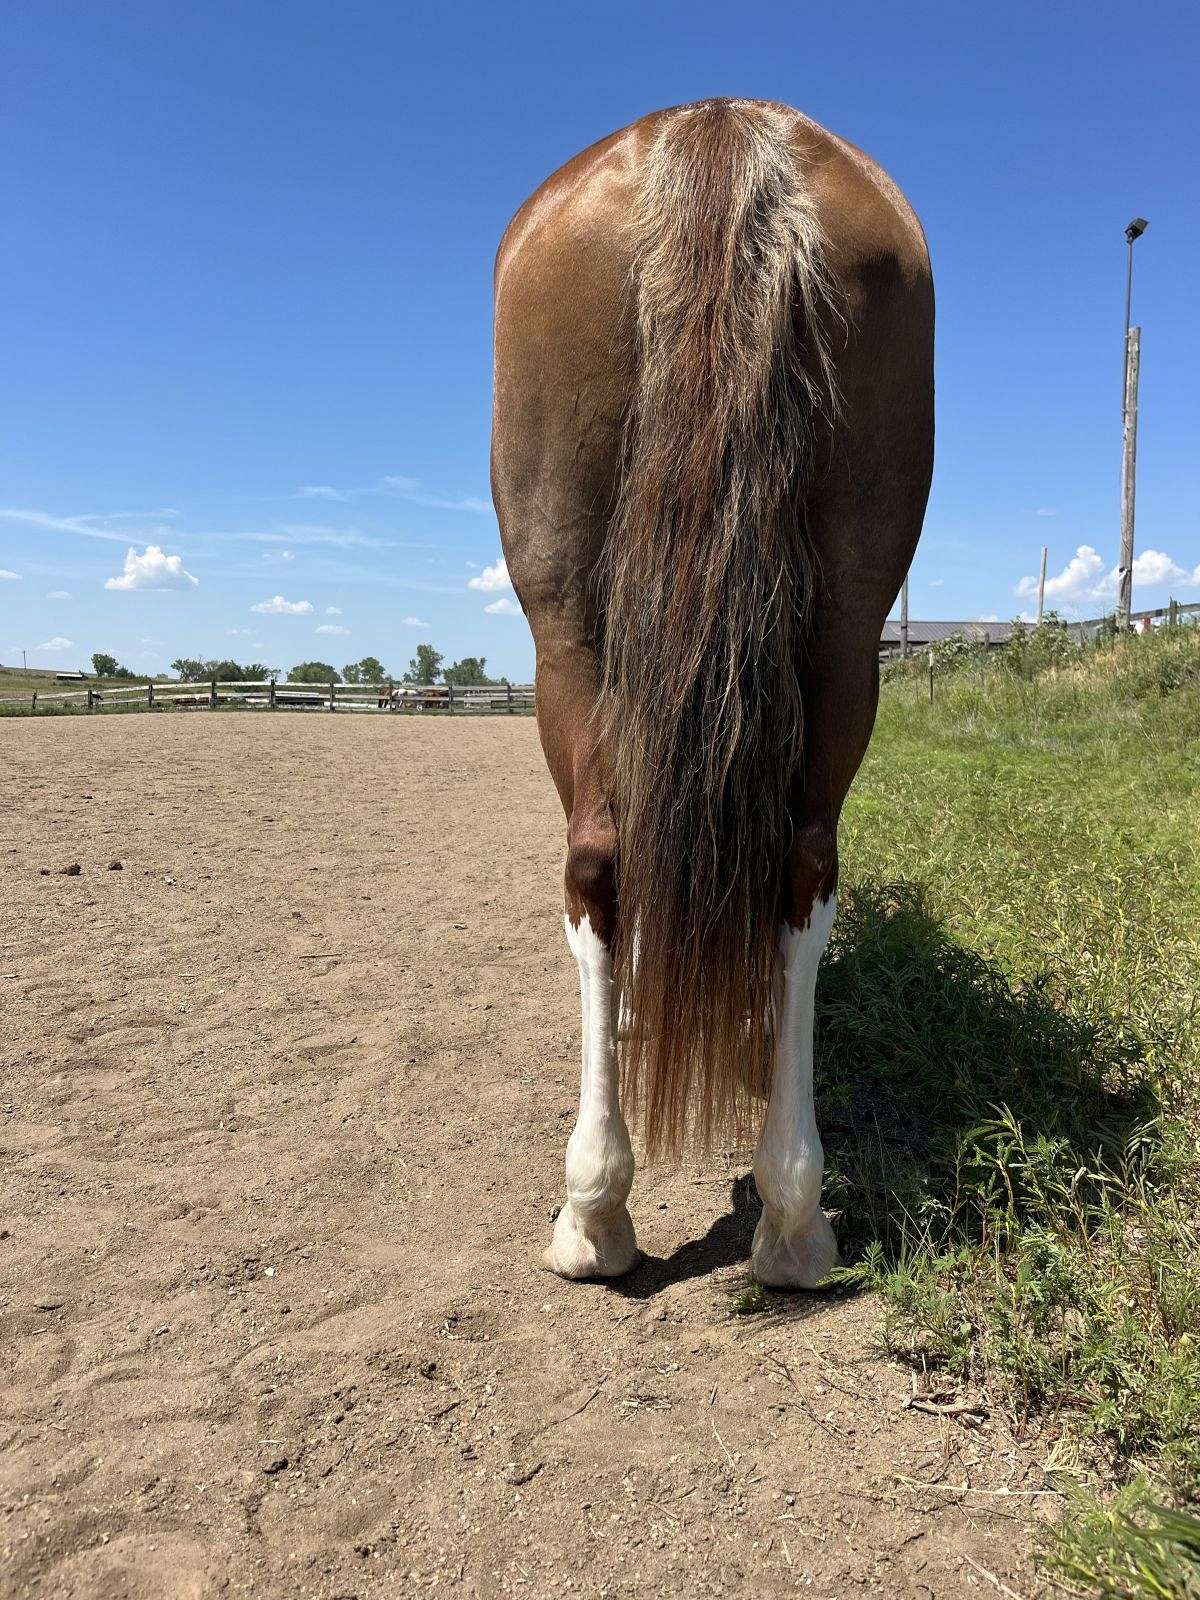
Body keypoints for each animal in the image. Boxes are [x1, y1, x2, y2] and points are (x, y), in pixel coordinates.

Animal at [491, 98, 933, 1287]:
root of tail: (726, 126)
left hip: (566, 632)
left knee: (597, 868)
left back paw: (599, 1211)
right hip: (845, 634)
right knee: (799, 870)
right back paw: (791, 1209)